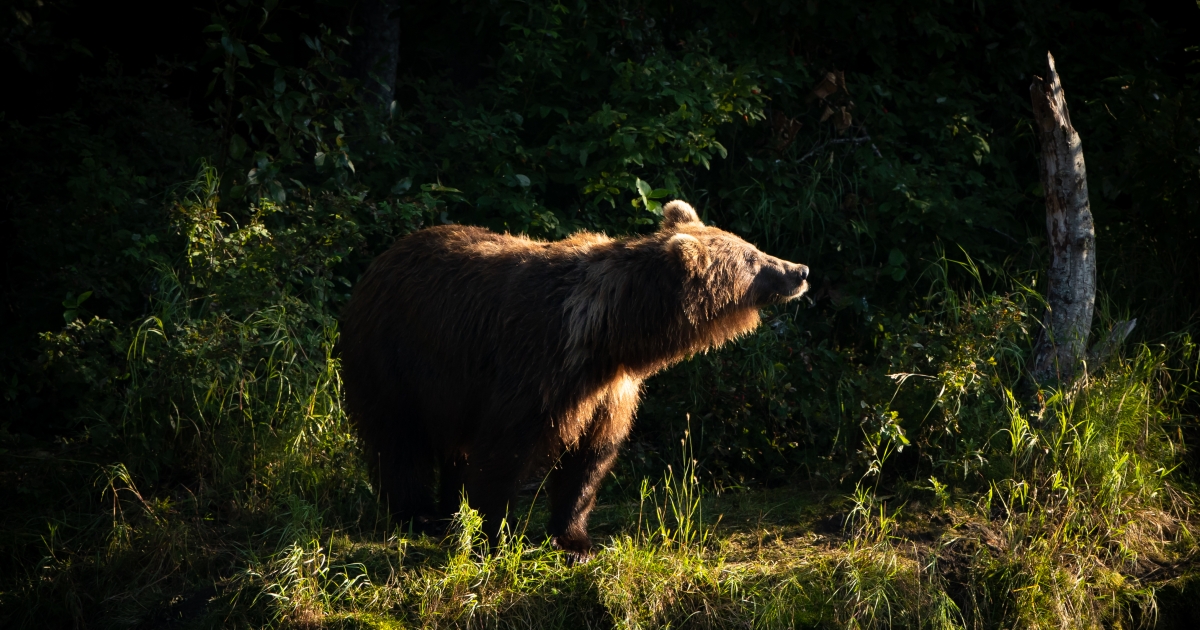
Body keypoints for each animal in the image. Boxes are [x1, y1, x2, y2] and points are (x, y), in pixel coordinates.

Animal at [338, 200, 809, 560]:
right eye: (752, 258)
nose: (800, 269)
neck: (610, 337)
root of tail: (379, 261)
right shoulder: (536, 370)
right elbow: (505, 453)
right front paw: (495, 536)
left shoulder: (608, 392)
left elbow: (590, 461)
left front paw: (575, 541)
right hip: (393, 357)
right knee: (398, 439)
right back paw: (419, 515)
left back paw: (450, 507)